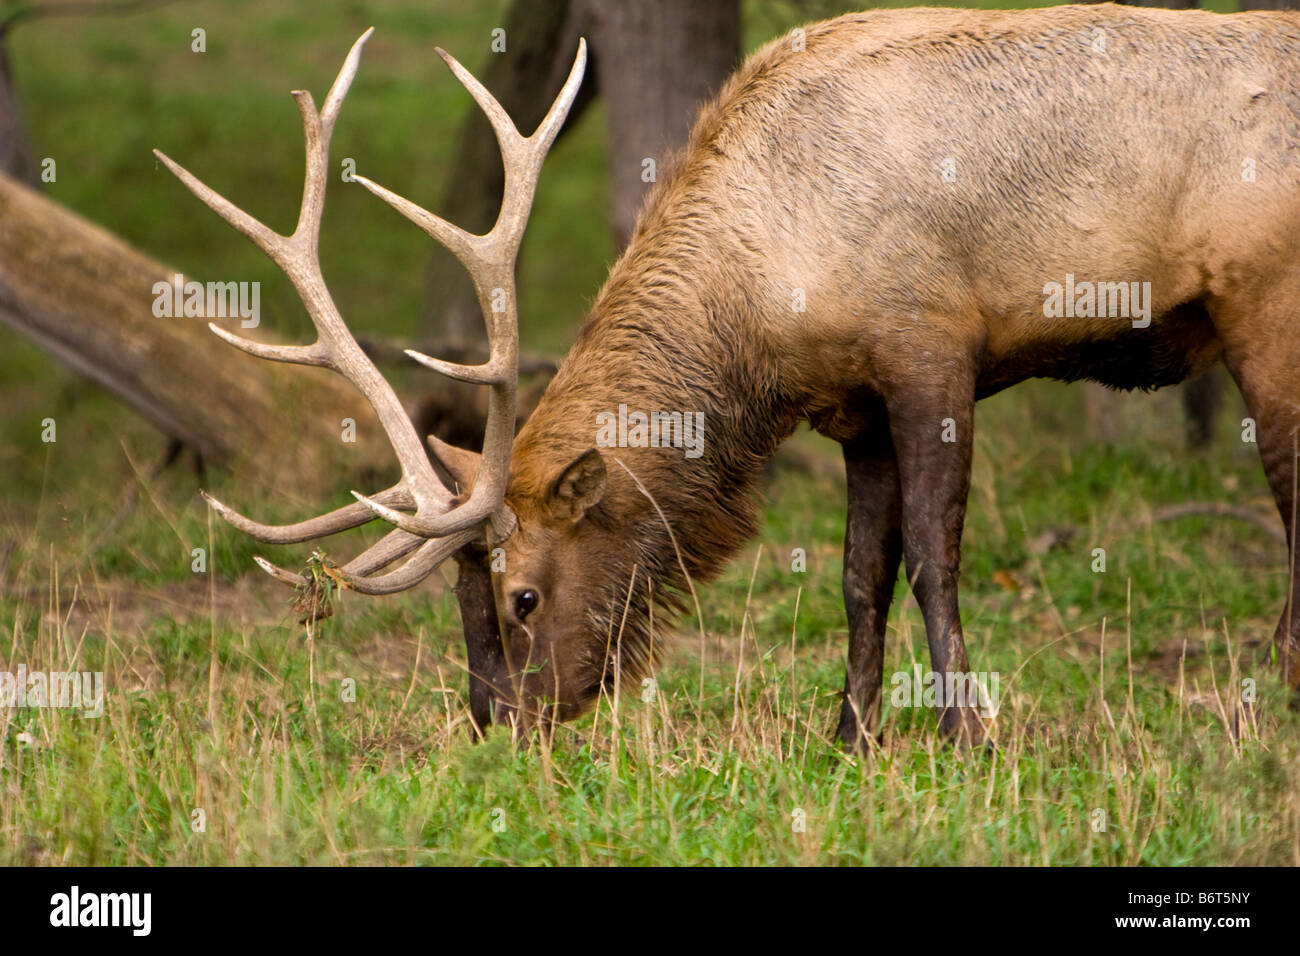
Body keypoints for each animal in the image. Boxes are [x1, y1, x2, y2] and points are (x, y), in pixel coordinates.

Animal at [156, 4, 1300, 751]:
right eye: (462, 594)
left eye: (523, 595)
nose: (496, 727)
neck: (766, 315)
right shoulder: (856, 405)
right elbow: (857, 572)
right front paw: (851, 734)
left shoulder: (930, 345)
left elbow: (934, 559)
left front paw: (967, 733)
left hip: (1266, 304)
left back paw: (1270, 697)